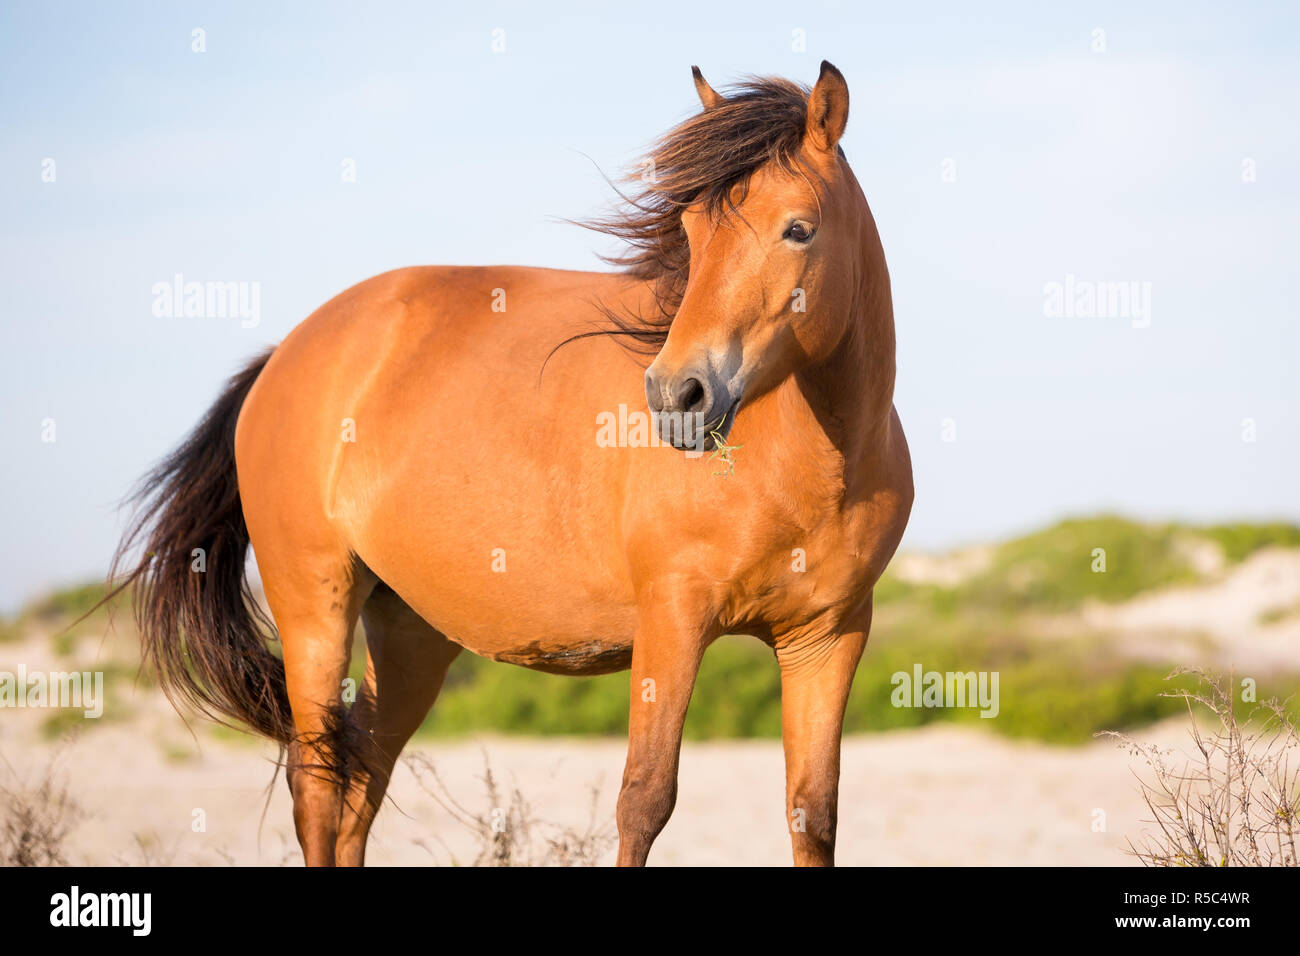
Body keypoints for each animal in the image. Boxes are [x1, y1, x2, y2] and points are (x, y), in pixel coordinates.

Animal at [112, 60, 913, 867]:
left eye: (799, 229)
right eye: (691, 231)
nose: (676, 394)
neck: (813, 465)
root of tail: (288, 352)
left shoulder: (826, 639)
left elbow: (813, 812)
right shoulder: (673, 621)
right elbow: (645, 801)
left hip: (408, 635)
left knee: (359, 786)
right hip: (315, 614)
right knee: (315, 790)